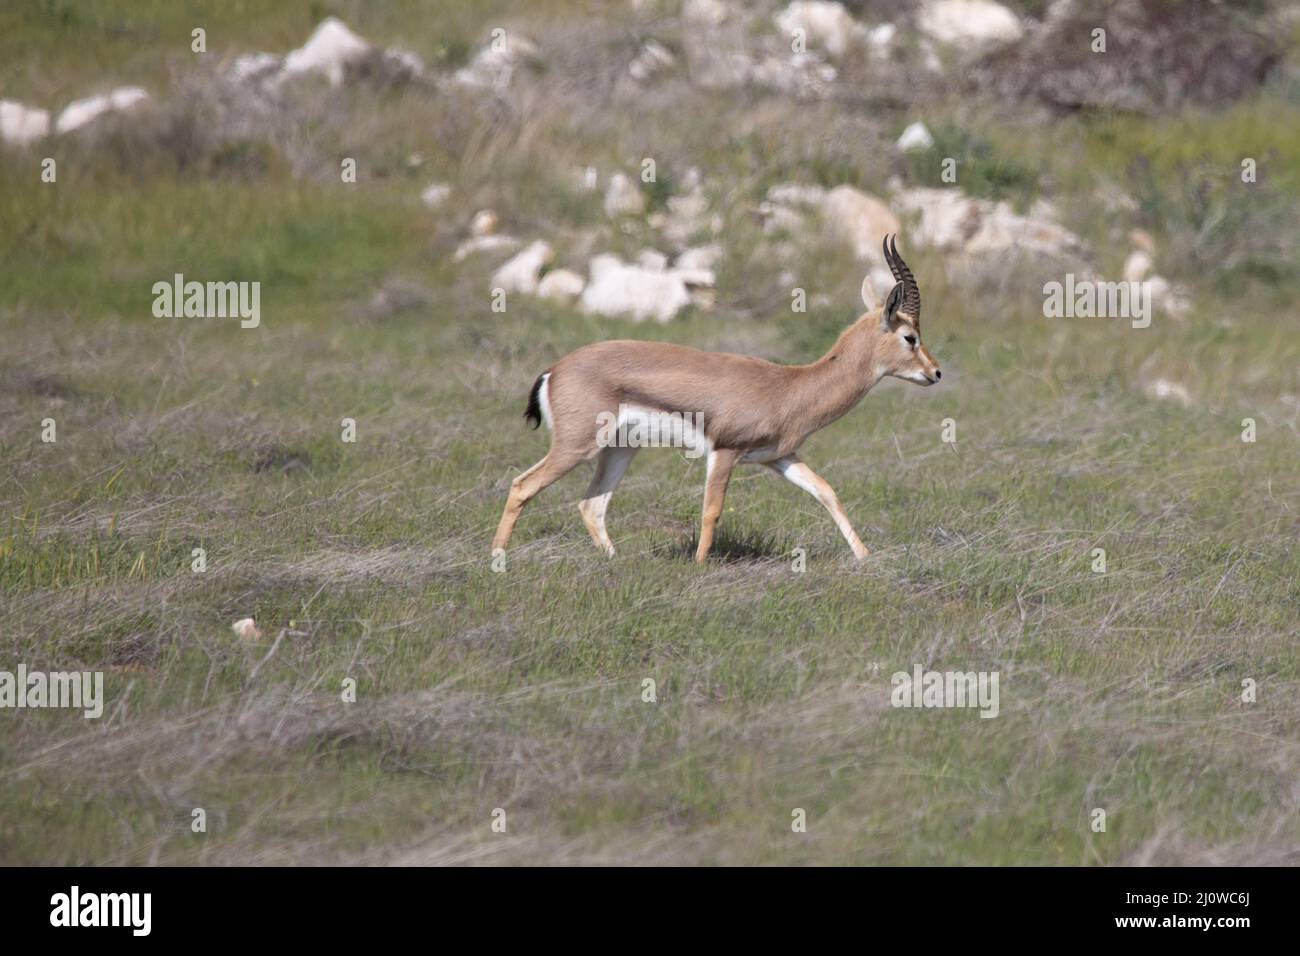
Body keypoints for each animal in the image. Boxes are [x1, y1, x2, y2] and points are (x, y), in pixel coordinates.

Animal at [492, 236, 941, 563]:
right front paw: (699, 565)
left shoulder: (780, 457)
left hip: (620, 449)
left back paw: (614, 561)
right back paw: (498, 560)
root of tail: (555, 369)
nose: (936, 373)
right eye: (910, 337)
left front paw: (864, 556)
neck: (791, 386)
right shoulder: (725, 452)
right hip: (577, 446)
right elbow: (712, 510)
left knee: (592, 505)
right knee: (522, 485)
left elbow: (826, 491)